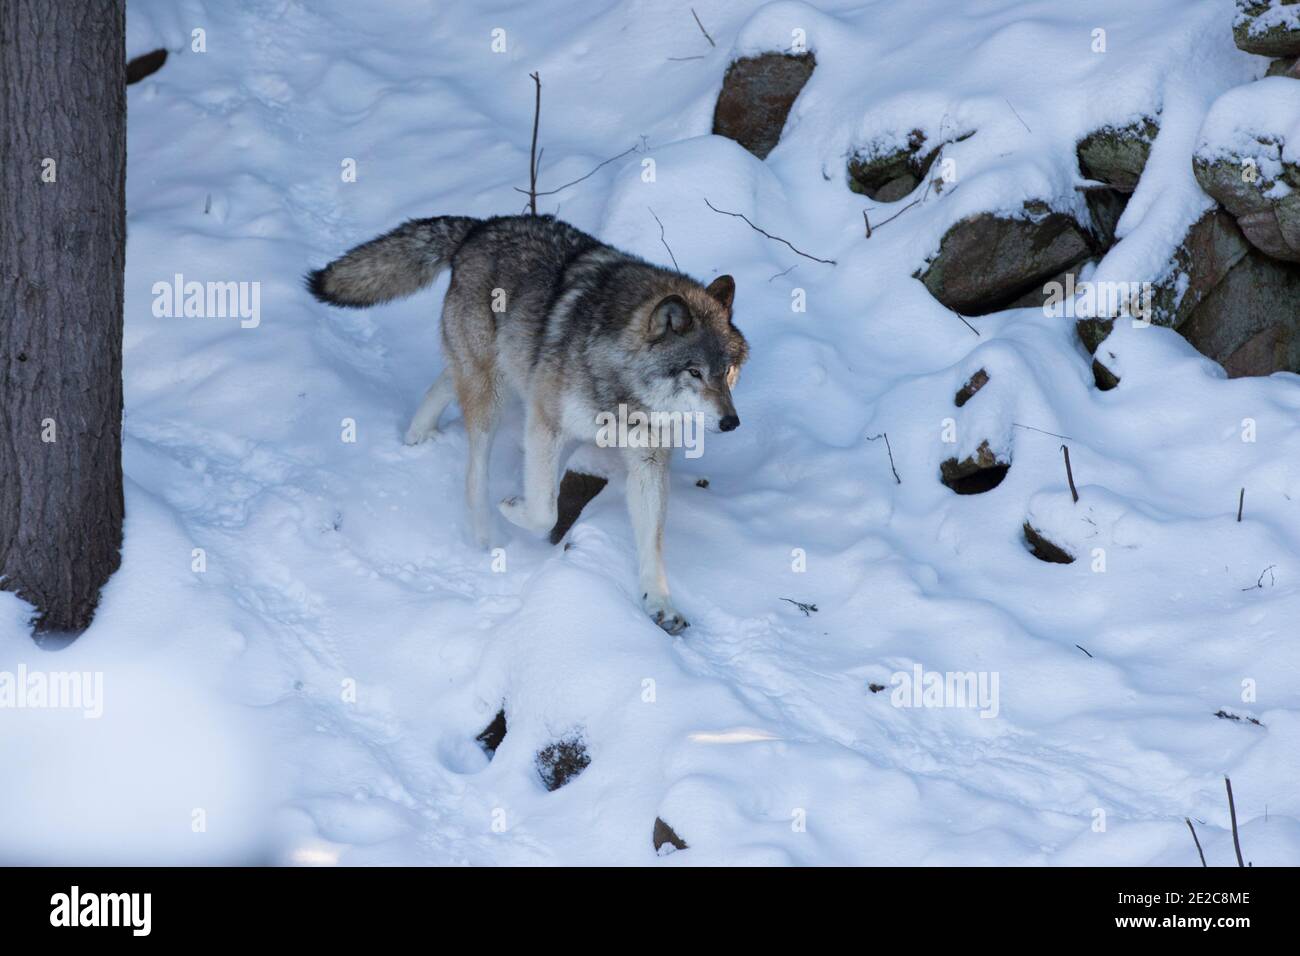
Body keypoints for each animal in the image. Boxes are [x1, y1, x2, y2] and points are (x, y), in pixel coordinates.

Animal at [306, 215, 749, 634]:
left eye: (727, 371)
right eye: (694, 372)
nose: (731, 422)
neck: (620, 379)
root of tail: (481, 227)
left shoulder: (648, 460)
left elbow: (652, 543)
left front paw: (659, 605)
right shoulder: (544, 425)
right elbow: (545, 512)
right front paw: (512, 506)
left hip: (495, 372)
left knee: (444, 380)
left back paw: (416, 437)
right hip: (494, 396)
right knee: (474, 473)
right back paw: (484, 539)